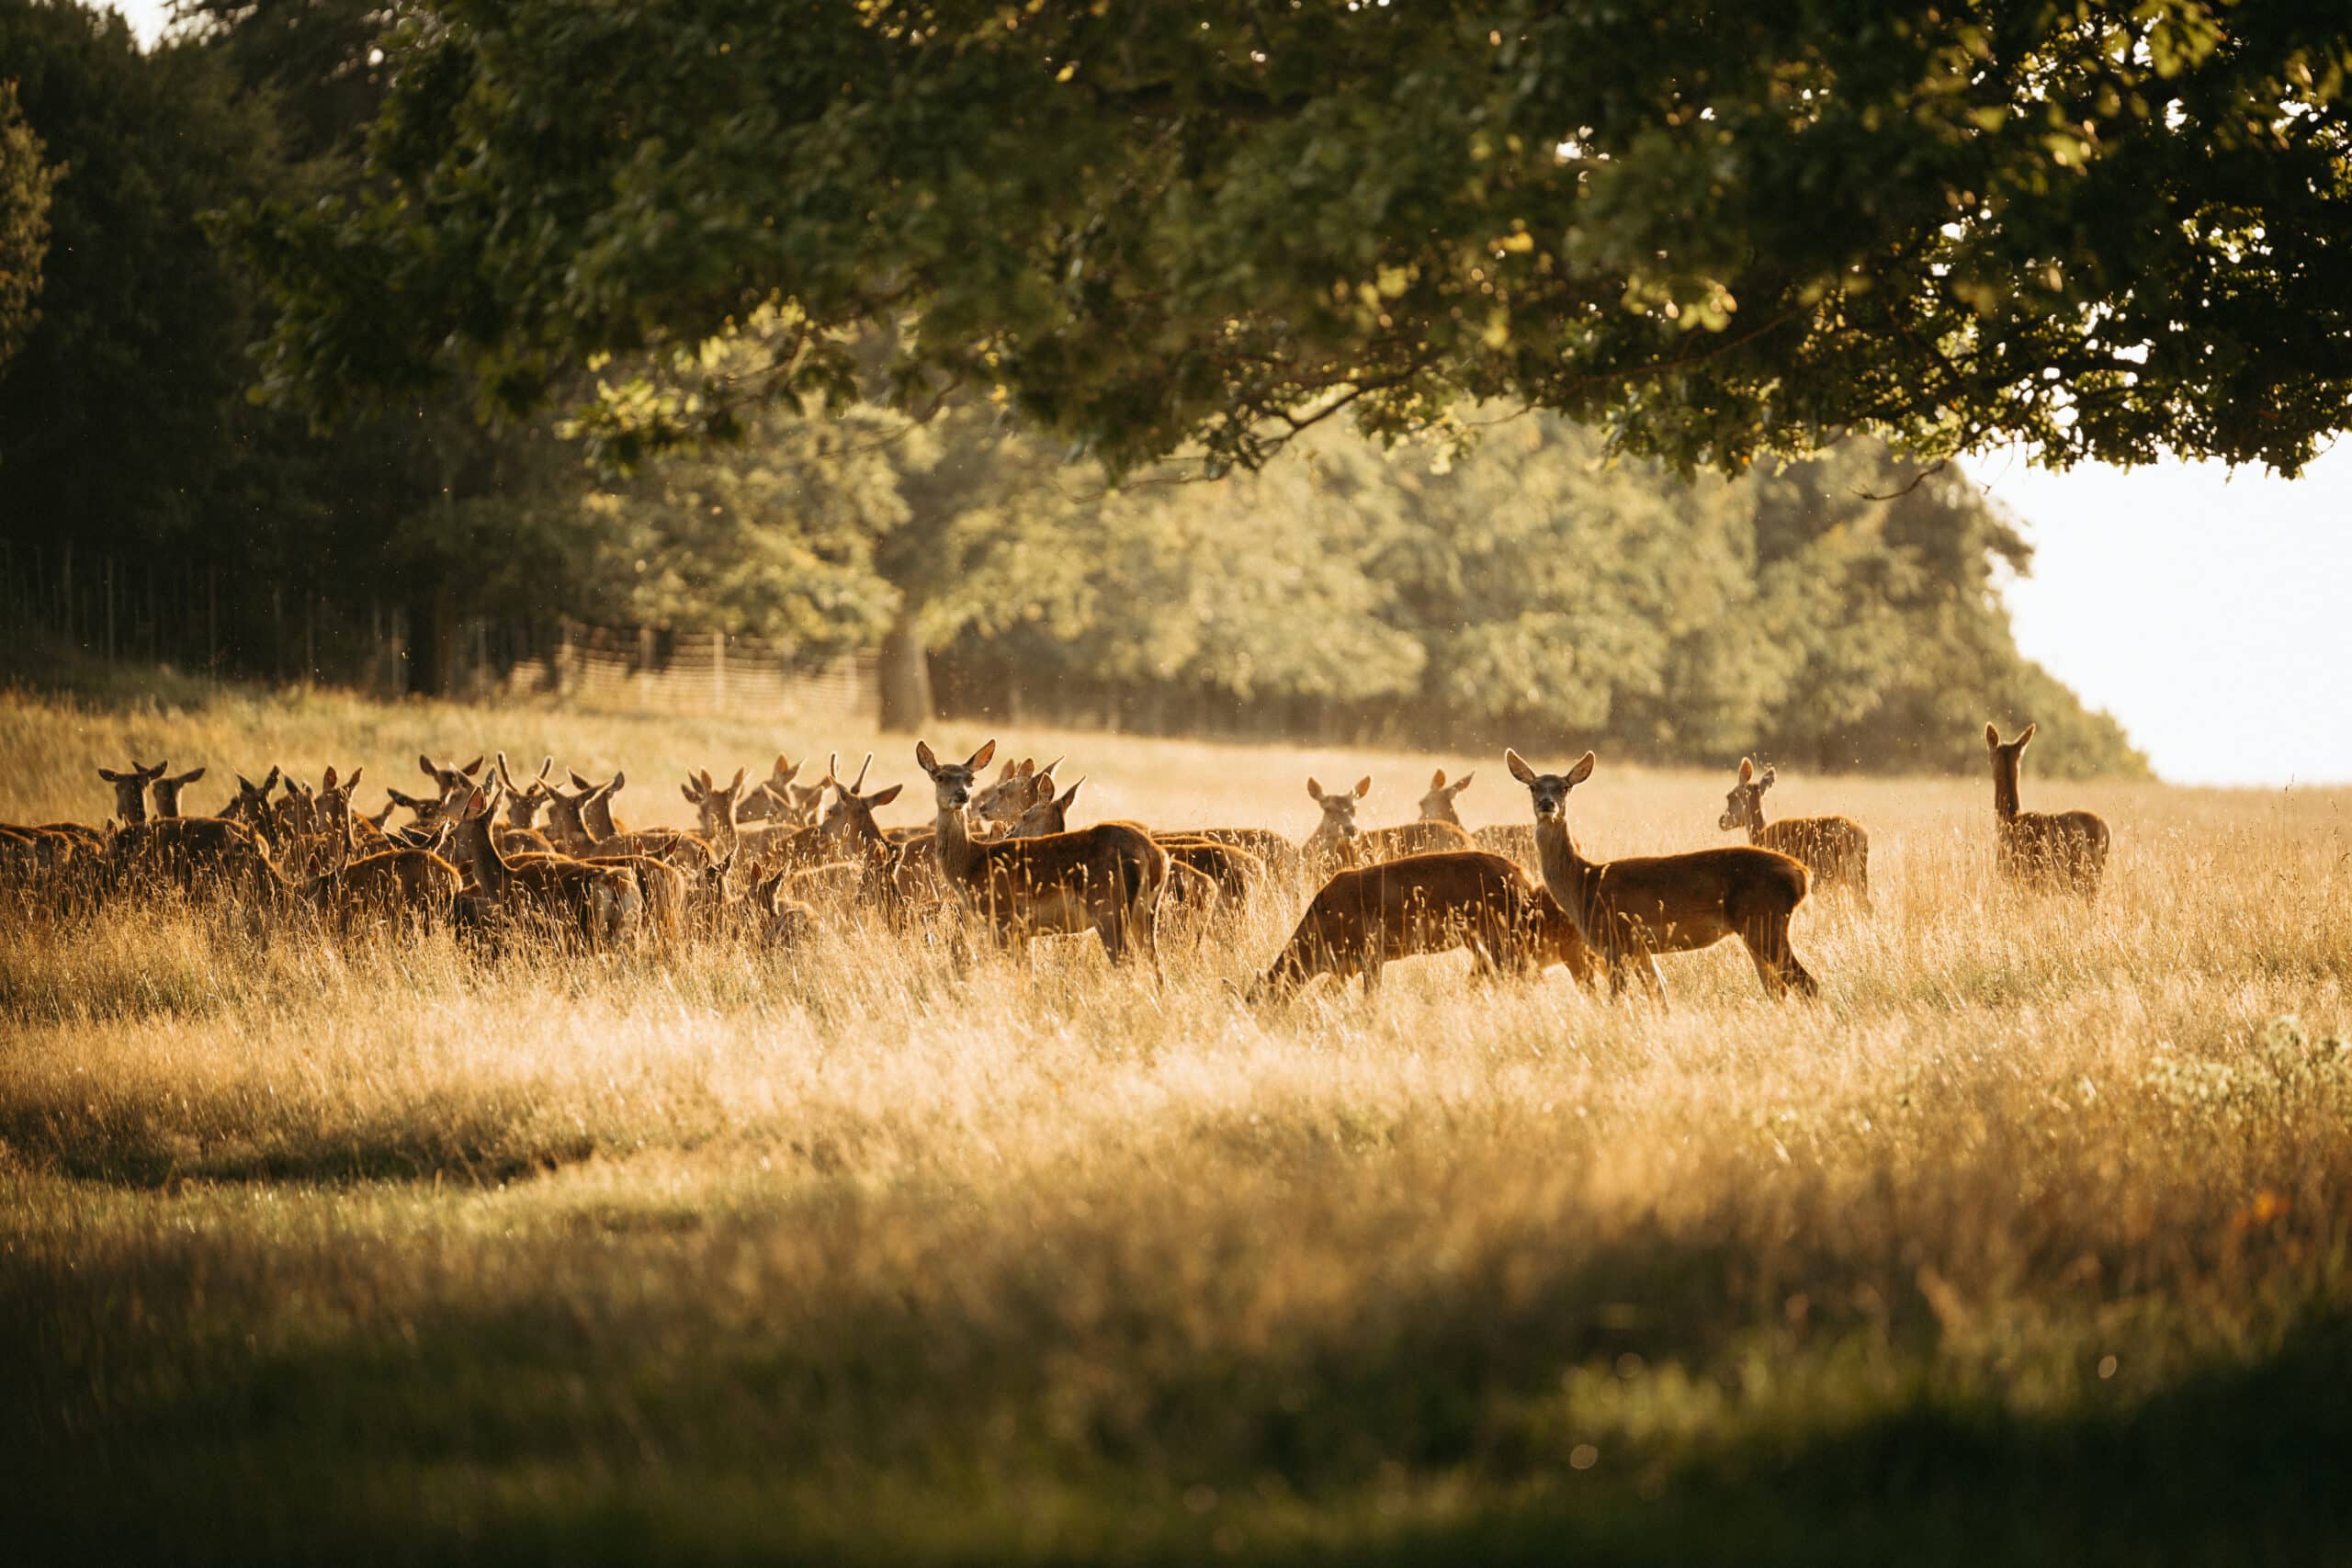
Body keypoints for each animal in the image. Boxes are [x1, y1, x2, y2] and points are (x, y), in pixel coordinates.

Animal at [916, 739, 1167, 968]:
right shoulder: (1024, 929)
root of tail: (1156, 855)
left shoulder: (1002, 918)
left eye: (971, 779)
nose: (962, 795)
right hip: (1146, 909)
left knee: (1128, 962)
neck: (970, 864)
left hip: (1108, 906)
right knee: (1156, 962)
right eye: (939, 776)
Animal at [1506, 749, 1817, 1003]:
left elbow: (1618, 999)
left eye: (1565, 787)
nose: (1547, 804)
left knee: (1807, 983)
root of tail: (1802, 875)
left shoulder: (1614, 939)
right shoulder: (1641, 948)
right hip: (1758, 926)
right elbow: (1660, 994)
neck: (1583, 883)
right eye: (1533, 787)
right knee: (1779, 988)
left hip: (1764, 920)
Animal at [1718, 758, 1871, 909]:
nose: (1722, 821)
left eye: (1730, 796)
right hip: (1857, 874)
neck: (1760, 835)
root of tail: (1864, 836)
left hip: (1837, 872)